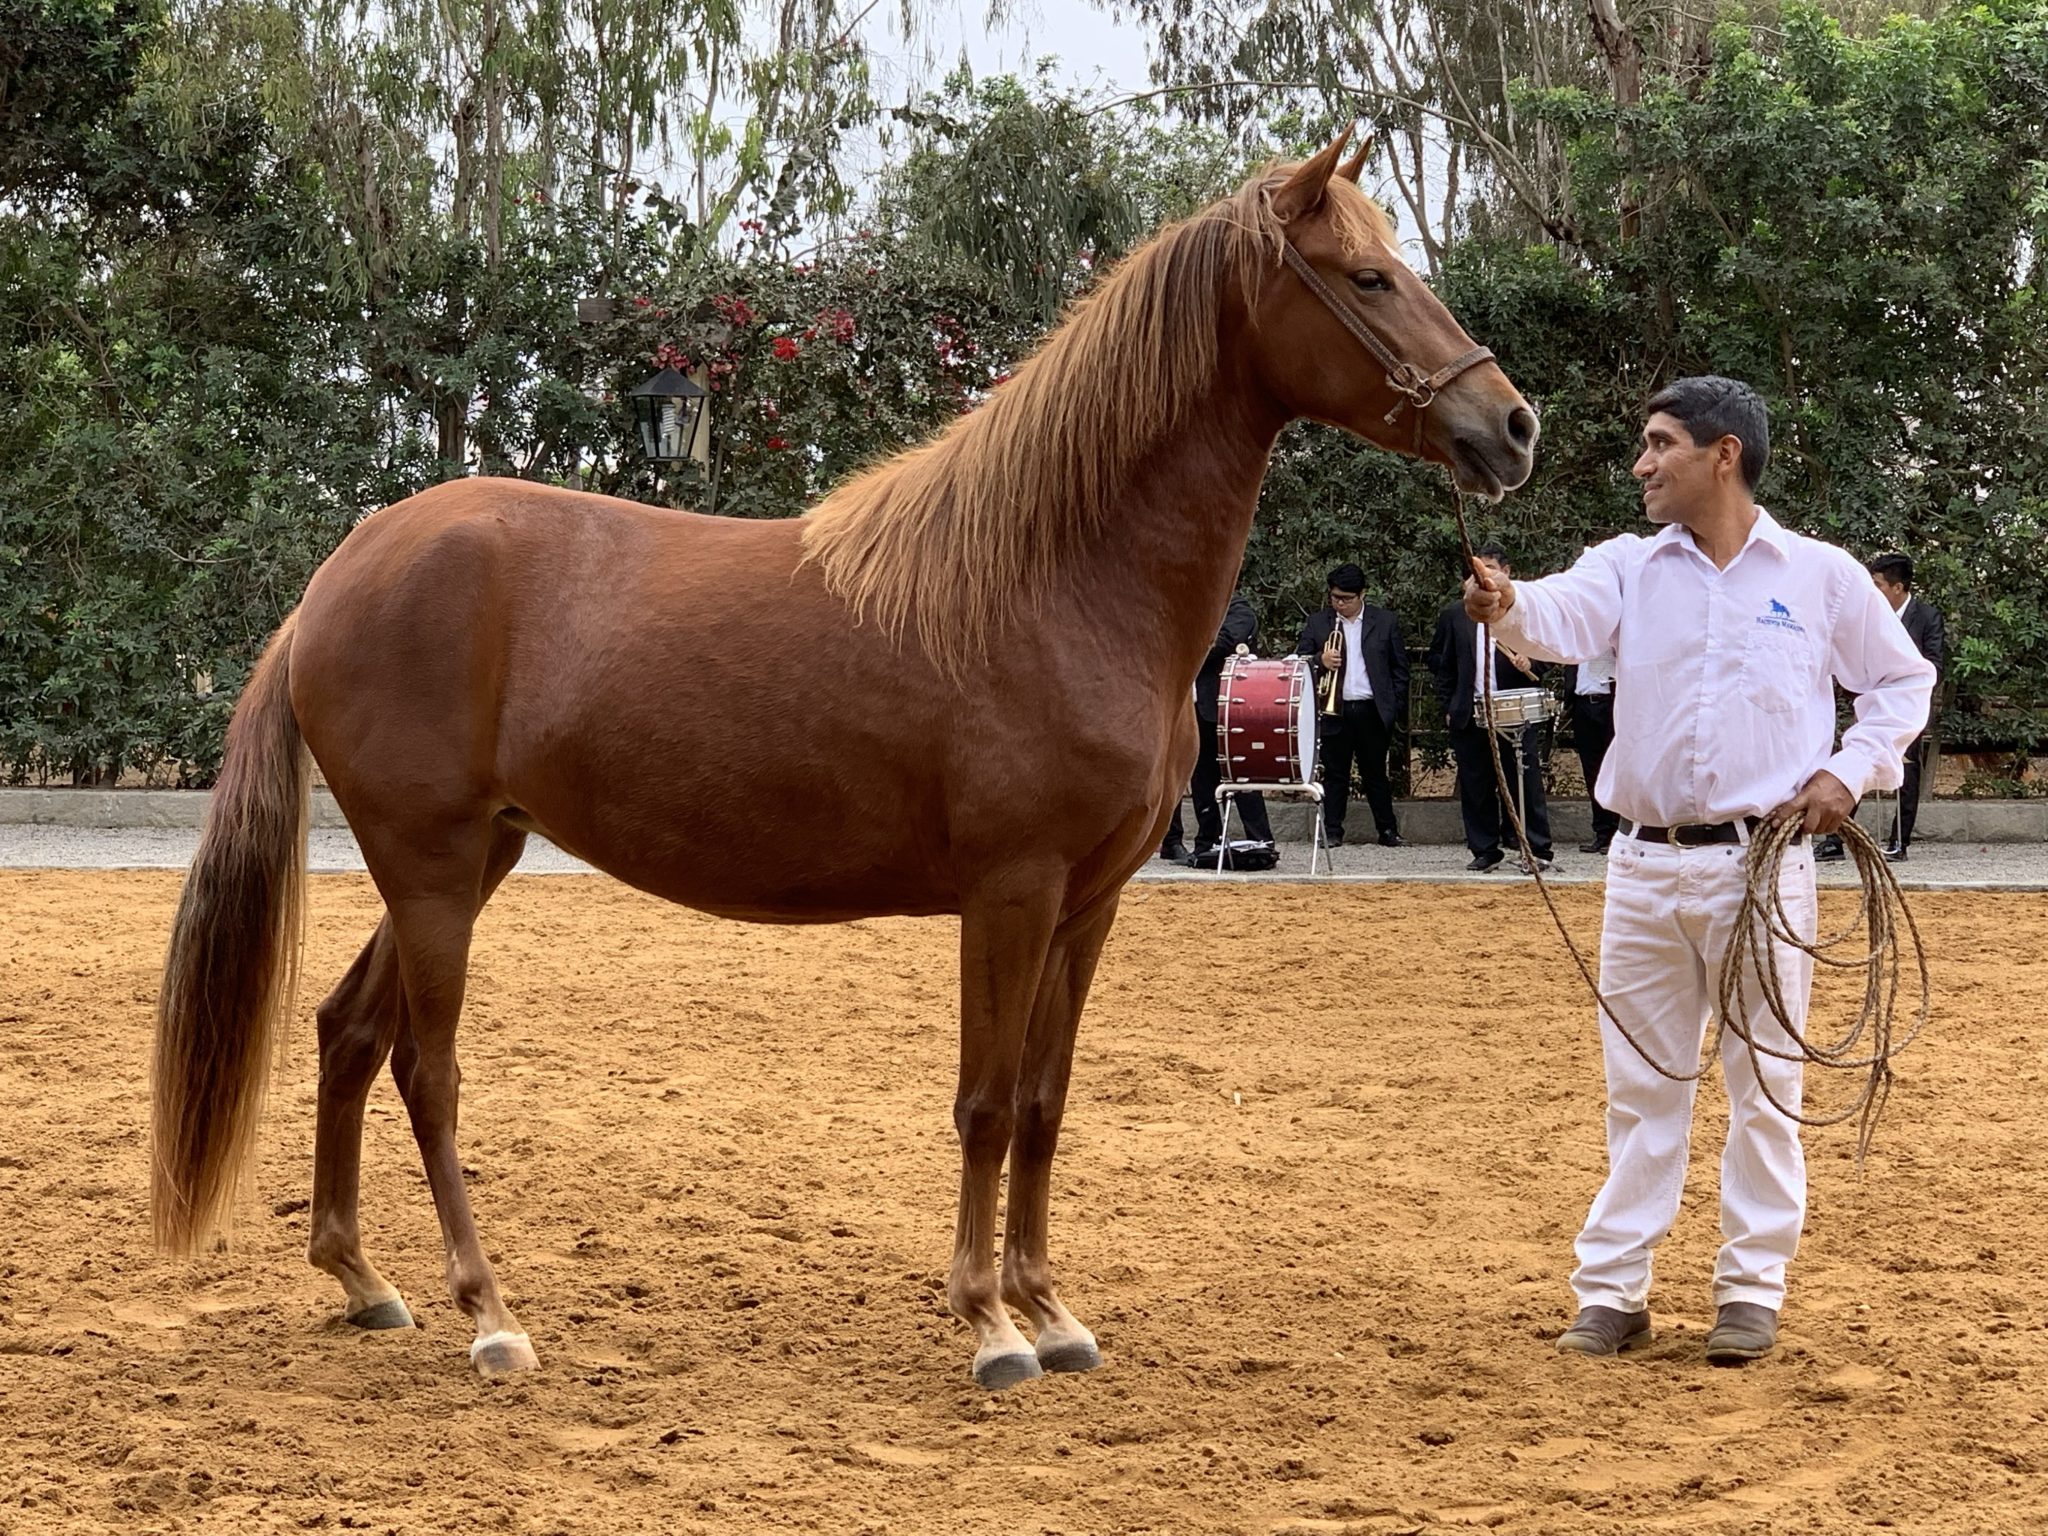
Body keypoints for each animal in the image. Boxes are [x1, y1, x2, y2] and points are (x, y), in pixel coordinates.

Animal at [151, 132, 1537, 1390]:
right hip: (433, 869)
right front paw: (988, 1326)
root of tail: (340, 573)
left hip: (467, 857)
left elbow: (1044, 1104)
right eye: (1364, 277)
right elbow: (984, 1103)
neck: (1058, 578)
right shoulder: (1010, 893)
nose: (1510, 427)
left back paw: (363, 1282)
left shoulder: (1088, 905)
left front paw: (1050, 1309)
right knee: (425, 1071)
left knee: (346, 1031)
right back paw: (489, 1316)